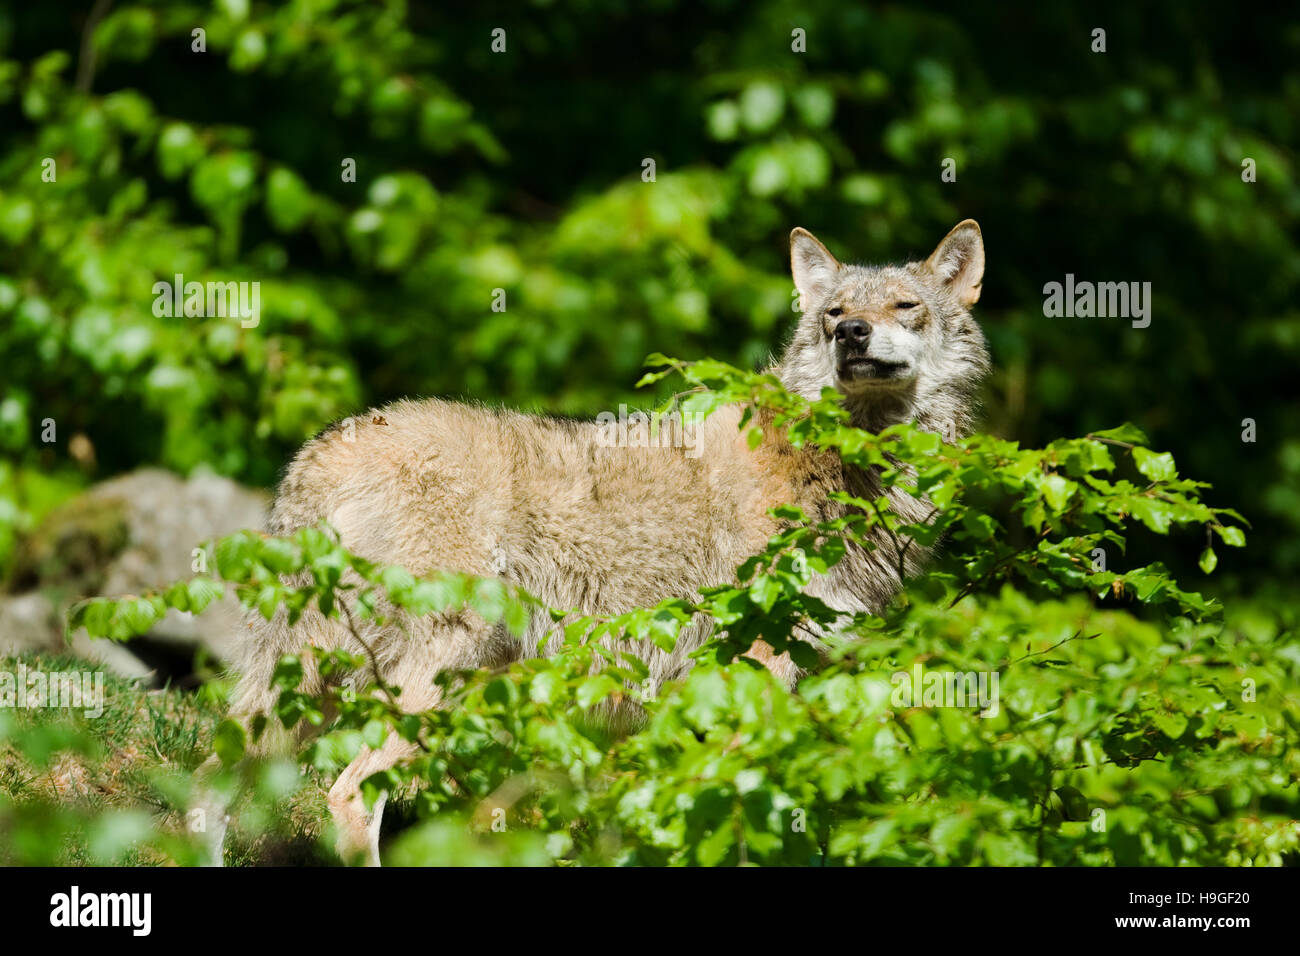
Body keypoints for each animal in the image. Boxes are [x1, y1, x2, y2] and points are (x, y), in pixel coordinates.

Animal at [198, 220, 988, 866]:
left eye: (904, 307)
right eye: (833, 314)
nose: (851, 333)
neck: (842, 462)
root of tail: (323, 452)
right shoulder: (754, 669)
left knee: (209, 781)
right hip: (429, 675)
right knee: (348, 796)